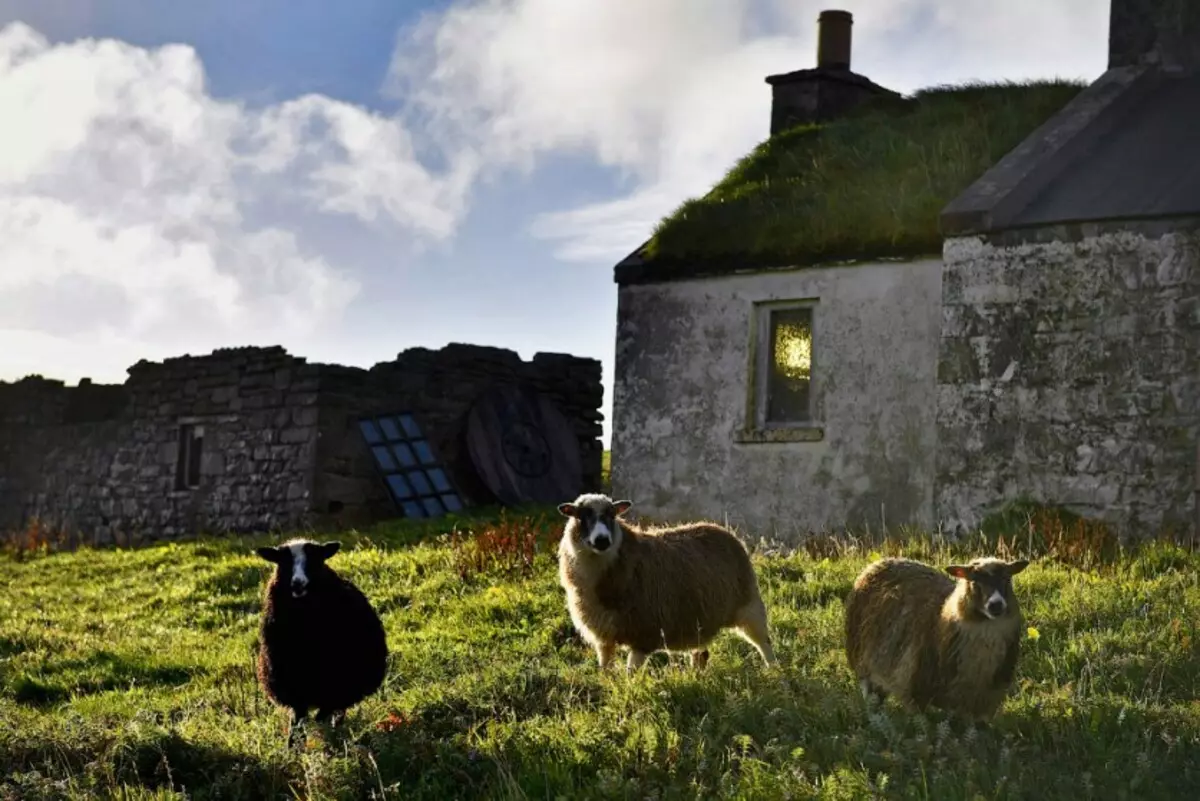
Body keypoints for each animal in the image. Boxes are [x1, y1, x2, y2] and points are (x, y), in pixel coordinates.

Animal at [254, 537, 388, 743]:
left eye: (315, 560)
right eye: (284, 562)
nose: (298, 583)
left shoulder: (335, 680)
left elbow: (323, 714)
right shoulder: (291, 681)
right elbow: (298, 719)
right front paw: (293, 744)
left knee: (336, 709)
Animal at [554, 491, 777, 671]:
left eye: (612, 514)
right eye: (580, 516)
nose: (602, 540)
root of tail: (722, 529)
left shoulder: (644, 633)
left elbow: (631, 672)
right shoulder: (604, 638)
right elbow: (605, 668)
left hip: (748, 604)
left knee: (764, 643)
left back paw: (773, 670)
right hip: (700, 617)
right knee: (701, 654)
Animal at [844, 553, 1032, 724]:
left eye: (1007, 579)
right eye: (974, 581)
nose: (996, 605)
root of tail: (882, 561)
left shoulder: (985, 699)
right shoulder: (915, 689)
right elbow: (923, 725)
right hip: (862, 662)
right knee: (871, 698)